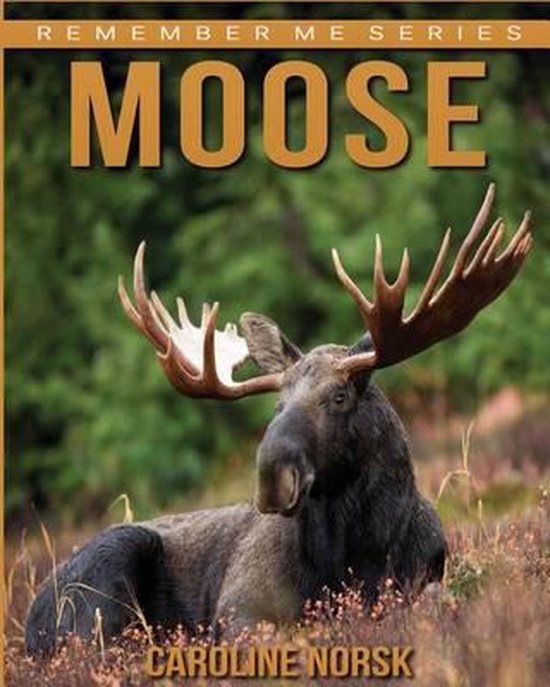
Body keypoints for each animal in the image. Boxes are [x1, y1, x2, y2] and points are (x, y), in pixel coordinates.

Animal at [25, 184, 532, 655]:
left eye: (339, 396)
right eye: (277, 404)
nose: (272, 476)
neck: (356, 553)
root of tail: (31, 620)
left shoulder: (424, 577)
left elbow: (437, 601)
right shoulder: (240, 608)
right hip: (108, 572)